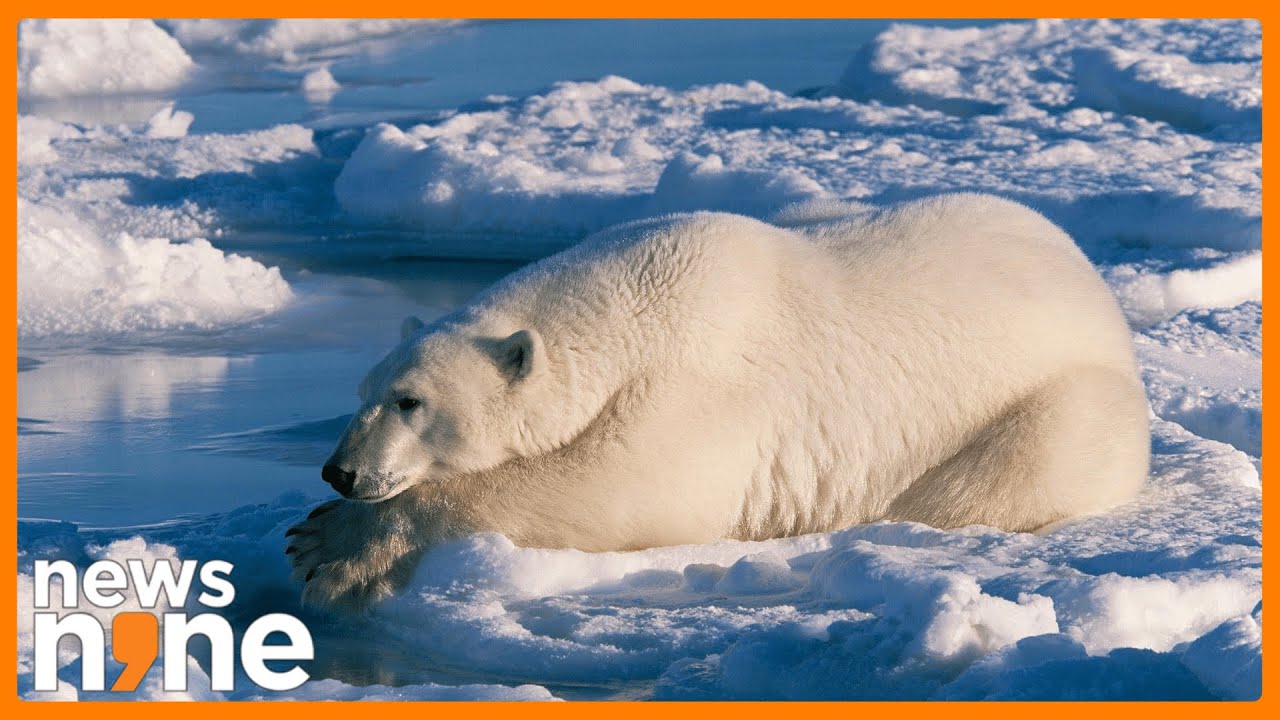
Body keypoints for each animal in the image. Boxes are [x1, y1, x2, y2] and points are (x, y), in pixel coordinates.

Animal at [286, 193, 1149, 610]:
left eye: (410, 402)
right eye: (363, 393)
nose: (339, 473)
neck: (632, 306)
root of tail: (1095, 286)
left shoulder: (706, 392)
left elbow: (616, 490)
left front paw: (325, 546)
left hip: (1061, 405)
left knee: (1005, 473)